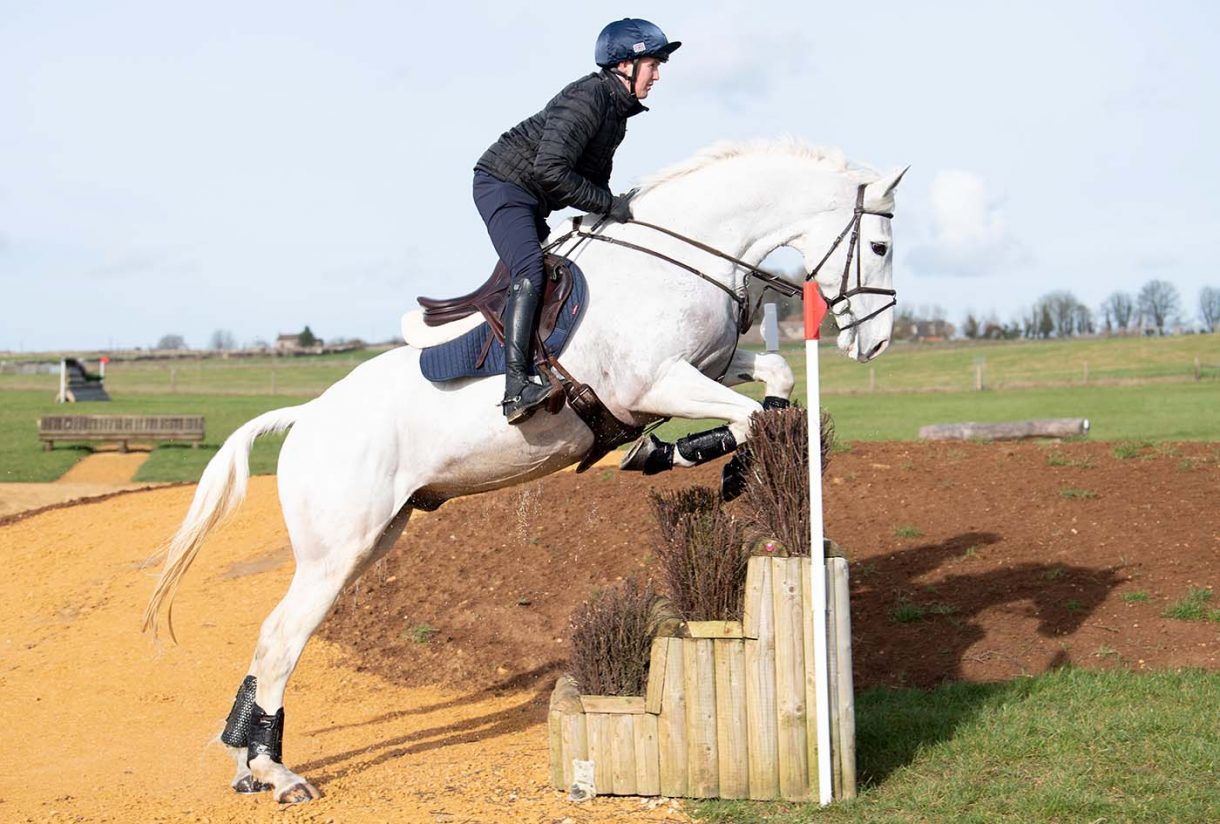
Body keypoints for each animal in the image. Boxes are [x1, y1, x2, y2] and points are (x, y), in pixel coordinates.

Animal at [142, 138, 907, 803]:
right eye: (879, 246)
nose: (874, 343)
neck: (677, 259)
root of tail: (306, 417)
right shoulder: (657, 383)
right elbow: (749, 416)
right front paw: (700, 461)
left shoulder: (704, 368)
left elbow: (774, 376)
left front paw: (693, 457)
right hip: (338, 551)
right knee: (280, 638)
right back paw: (276, 772)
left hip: (376, 537)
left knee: (274, 635)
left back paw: (244, 759)